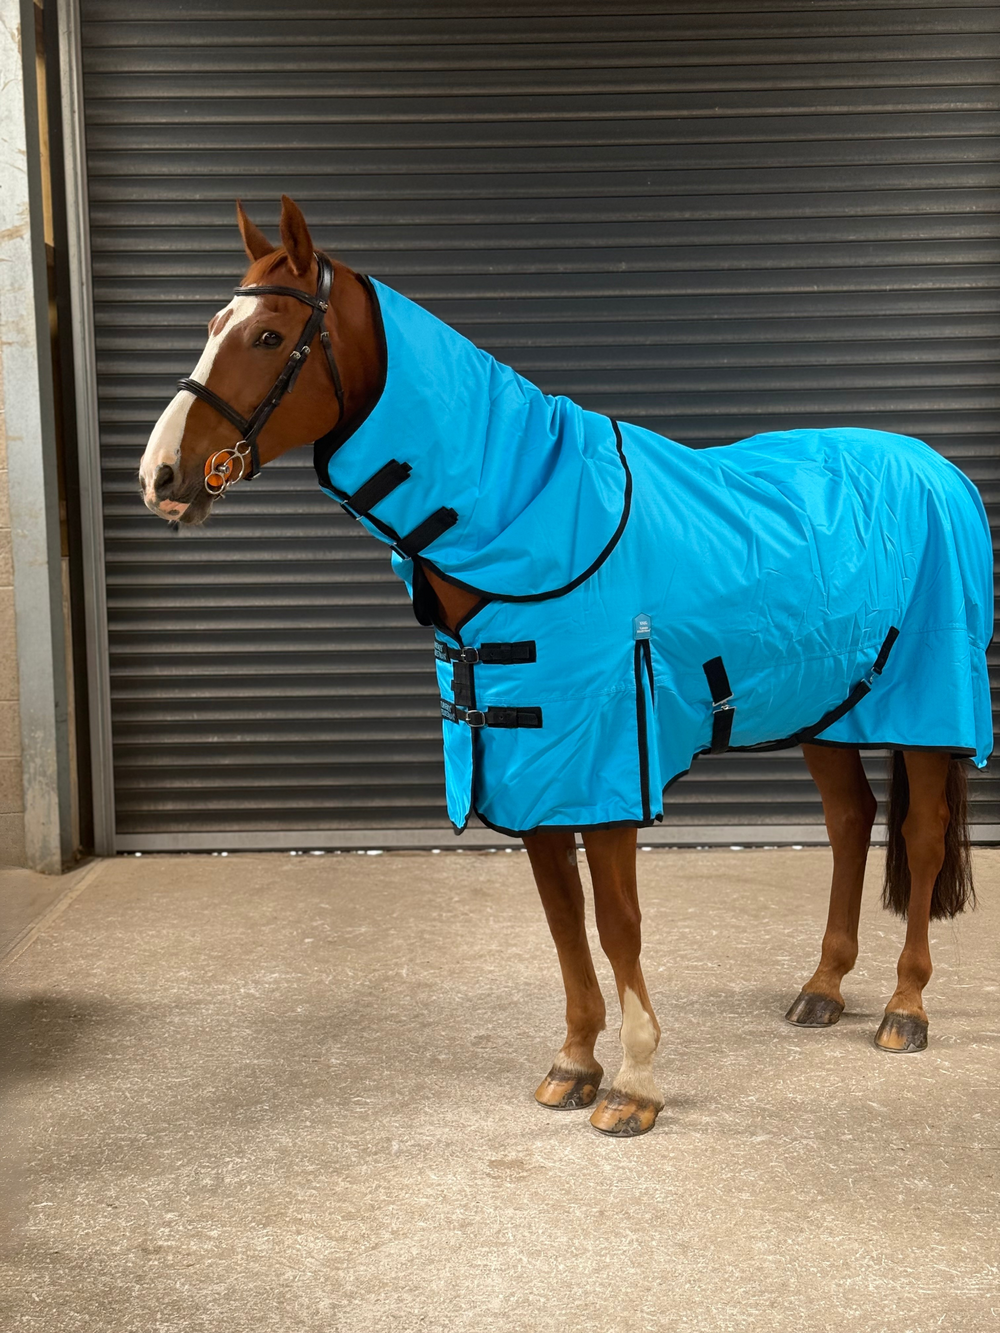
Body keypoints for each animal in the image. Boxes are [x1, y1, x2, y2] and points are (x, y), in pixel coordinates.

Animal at [138, 195, 990, 1138]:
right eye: (212, 326)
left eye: (266, 334)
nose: (160, 475)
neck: (531, 518)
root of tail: (936, 468)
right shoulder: (528, 766)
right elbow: (562, 921)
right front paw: (575, 1062)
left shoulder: (605, 763)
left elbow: (617, 922)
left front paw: (636, 1082)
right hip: (827, 707)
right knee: (849, 822)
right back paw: (823, 987)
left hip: (928, 709)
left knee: (916, 835)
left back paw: (904, 1008)